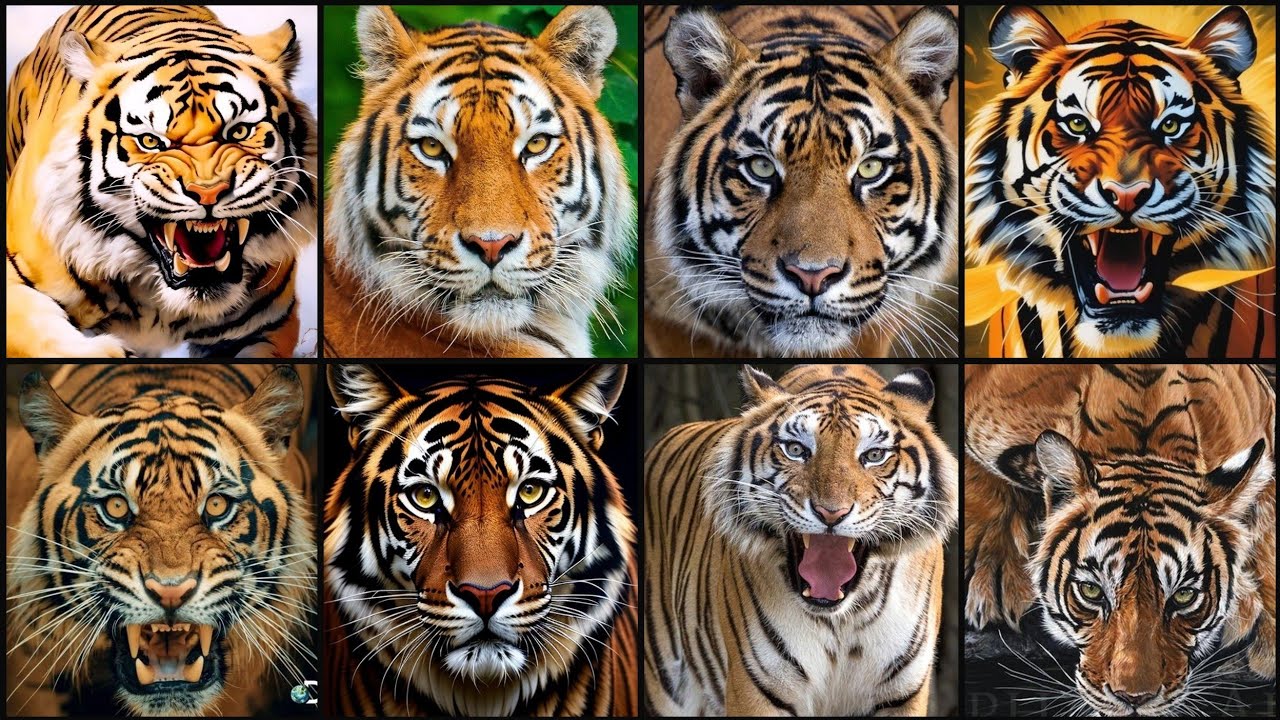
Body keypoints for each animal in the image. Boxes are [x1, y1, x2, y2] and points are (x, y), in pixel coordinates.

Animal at [645, 364, 958, 716]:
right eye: (796, 450)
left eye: (874, 455)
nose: (831, 513)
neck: (844, 619)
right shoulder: (758, 689)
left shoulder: (902, 694)